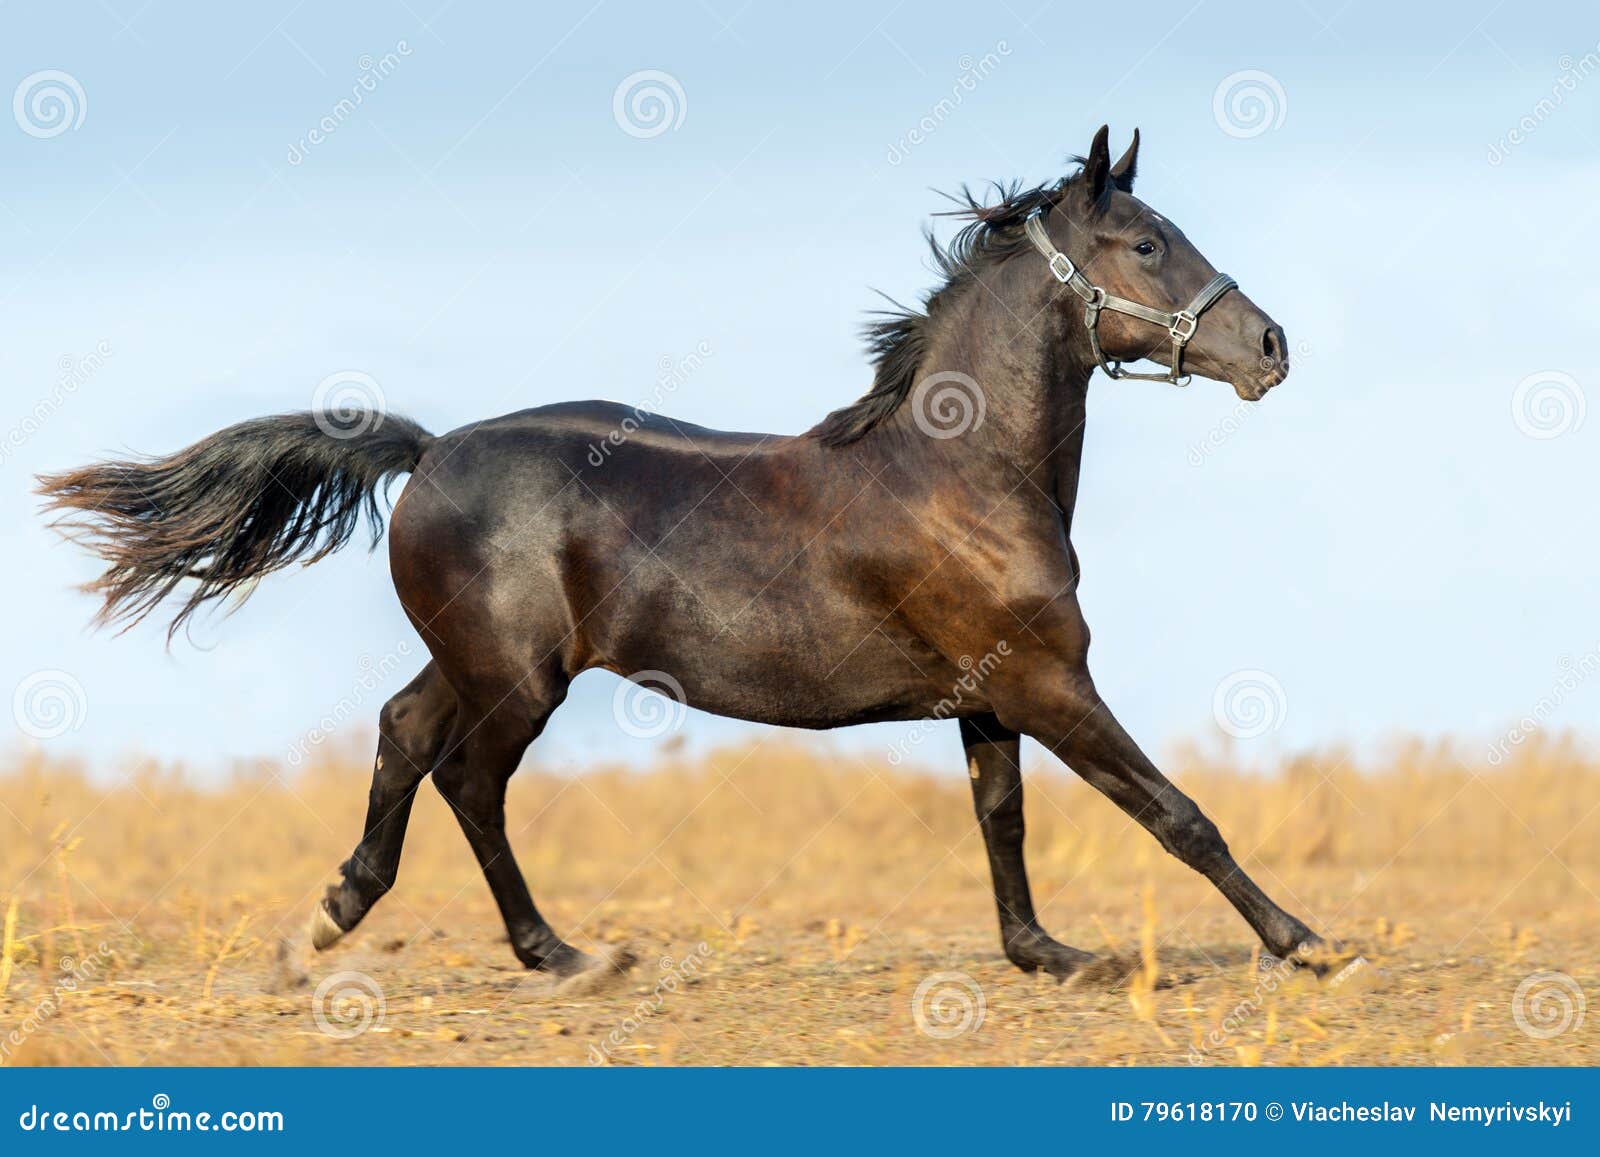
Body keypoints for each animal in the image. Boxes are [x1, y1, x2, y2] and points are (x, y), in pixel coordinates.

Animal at [38, 126, 1323, 982]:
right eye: (1146, 243)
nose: (1270, 344)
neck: (960, 474)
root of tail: (430, 449)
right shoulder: (1048, 680)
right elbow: (1174, 811)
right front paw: (1306, 940)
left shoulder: (989, 692)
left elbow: (998, 816)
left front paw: (1048, 950)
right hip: (518, 678)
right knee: (467, 779)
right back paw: (559, 954)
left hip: (471, 660)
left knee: (401, 734)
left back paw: (327, 919)